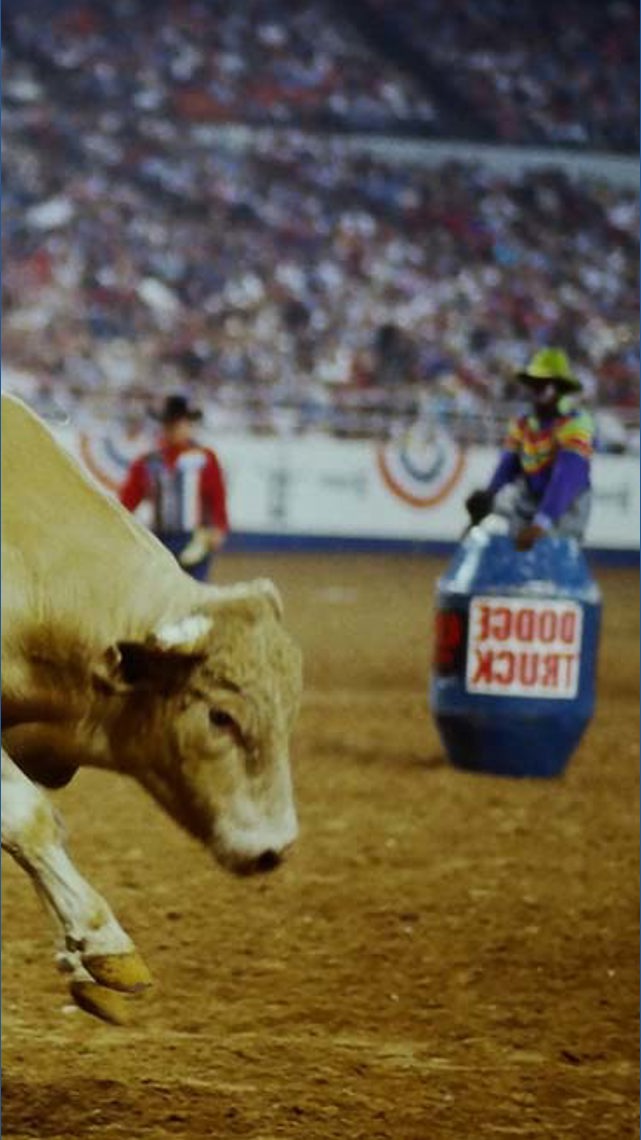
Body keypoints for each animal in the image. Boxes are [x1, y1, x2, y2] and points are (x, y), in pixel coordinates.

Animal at [1, 393, 302, 1024]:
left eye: (289, 711)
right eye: (219, 716)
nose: (273, 847)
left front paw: (78, 958)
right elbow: (28, 816)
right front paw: (105, 943)